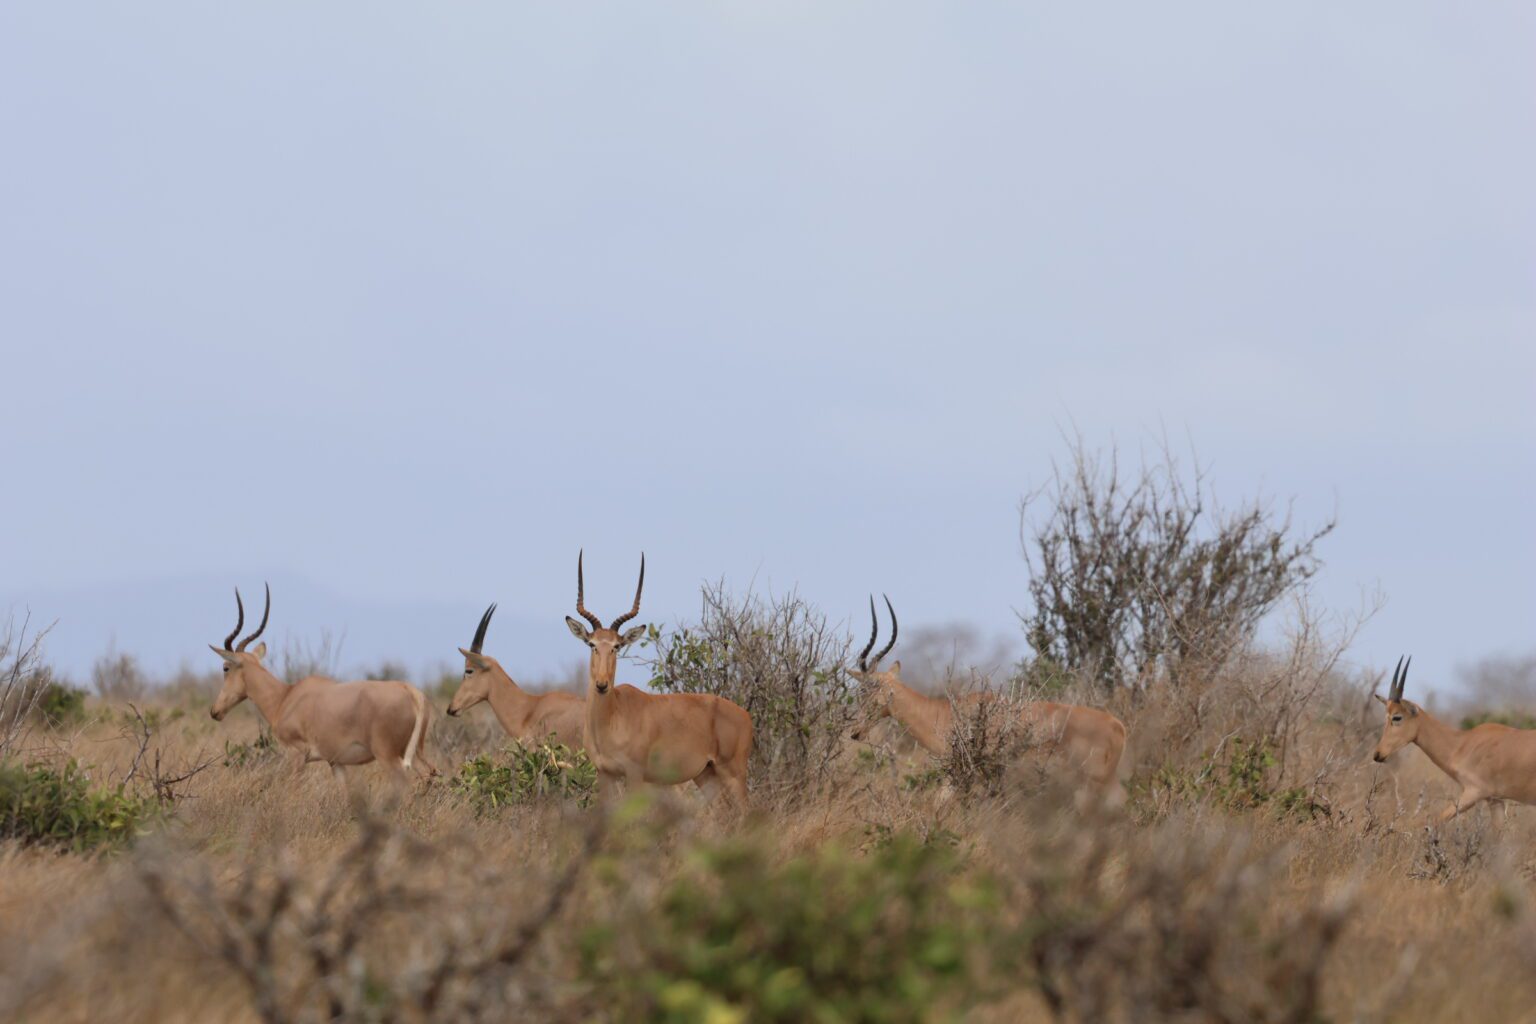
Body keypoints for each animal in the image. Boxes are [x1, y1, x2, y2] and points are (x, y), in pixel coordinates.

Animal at [208, 585, 437, 783]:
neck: (286, 697)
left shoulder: (297, 756)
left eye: (225, 667)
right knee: (431, 774)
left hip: (388, 756)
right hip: (415, 752)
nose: (214, 711)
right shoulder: (335, 761)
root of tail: (411, 692)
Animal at [564, 552, 753, 811]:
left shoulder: (635, 775)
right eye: (592, 644)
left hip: (733, 773)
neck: (612, 715)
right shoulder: (605, 774)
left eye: (616, 646)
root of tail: (745, 715)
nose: (602, 684)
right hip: (706, 774)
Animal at [1373, 656, 1536, 826]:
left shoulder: (1474, 792)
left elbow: (1437, 819)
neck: (1461, 743)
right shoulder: (1495, 800)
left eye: (1397, 717)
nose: (1378, 754)